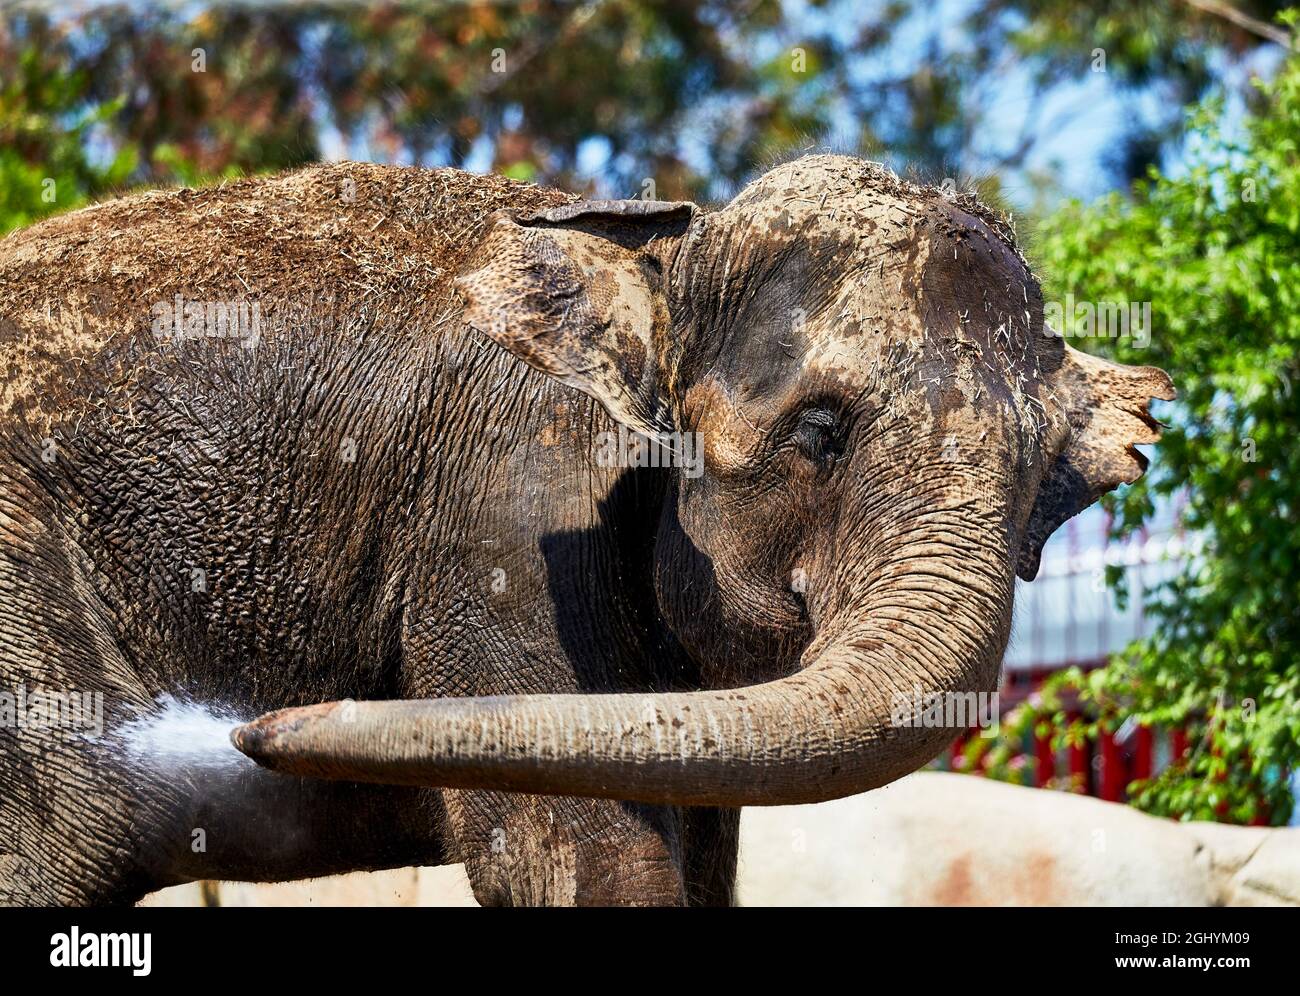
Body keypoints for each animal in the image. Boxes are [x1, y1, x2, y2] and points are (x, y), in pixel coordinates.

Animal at [0, 154, 1172, 906]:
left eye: (1046, 468)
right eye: (821, 431)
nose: (250, 732)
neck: (653, 244)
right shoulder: (508, 509)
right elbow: (578, 858)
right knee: (75, 828)